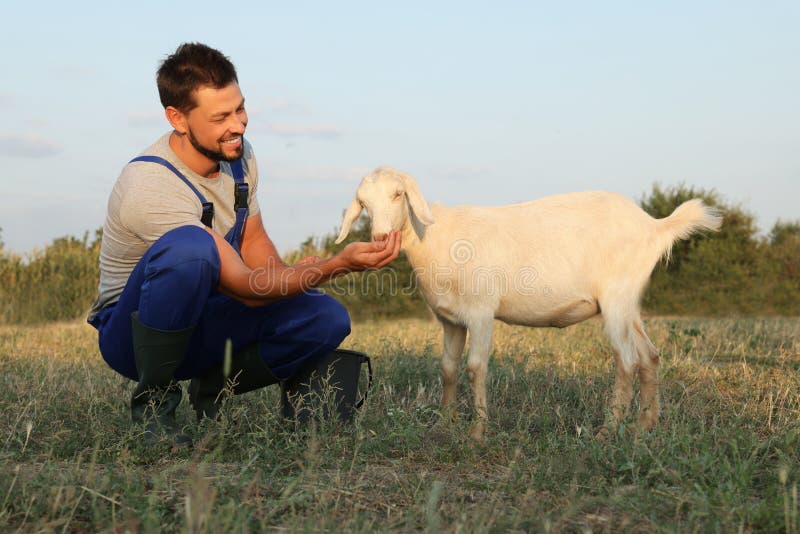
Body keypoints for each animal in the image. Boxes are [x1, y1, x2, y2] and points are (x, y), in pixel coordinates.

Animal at [335, 167, 722, 441]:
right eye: (364, 204)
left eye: (399, 194)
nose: (380, 238)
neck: (435, 238)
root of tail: (655, 227)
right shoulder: (451, 320)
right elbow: (447, 368)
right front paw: (445, 423)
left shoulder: (480, 312)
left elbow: (475, 367)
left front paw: (477, 432)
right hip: (629, 304)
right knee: (650, 355)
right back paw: (645, 425)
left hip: (616, 298)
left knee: (626, 360)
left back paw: (607, 430)